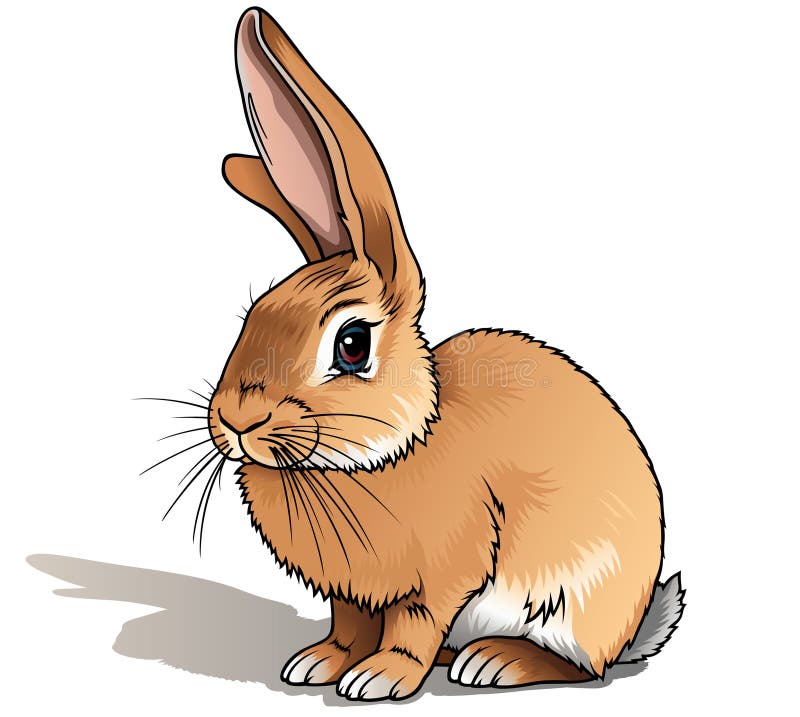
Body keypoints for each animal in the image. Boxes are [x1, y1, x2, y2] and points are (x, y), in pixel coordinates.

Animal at [207, 7, 685, 701]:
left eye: (351, 345)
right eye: (253, 317)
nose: (236, 422)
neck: (388, 451)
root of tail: (637, 624)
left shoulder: (445, 573)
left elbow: (416, 625)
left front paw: (378, 678)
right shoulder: (350, 593)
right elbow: (347, 624)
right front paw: (318, 663)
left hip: (572, 601)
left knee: (579, 665)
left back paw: (494, 662)